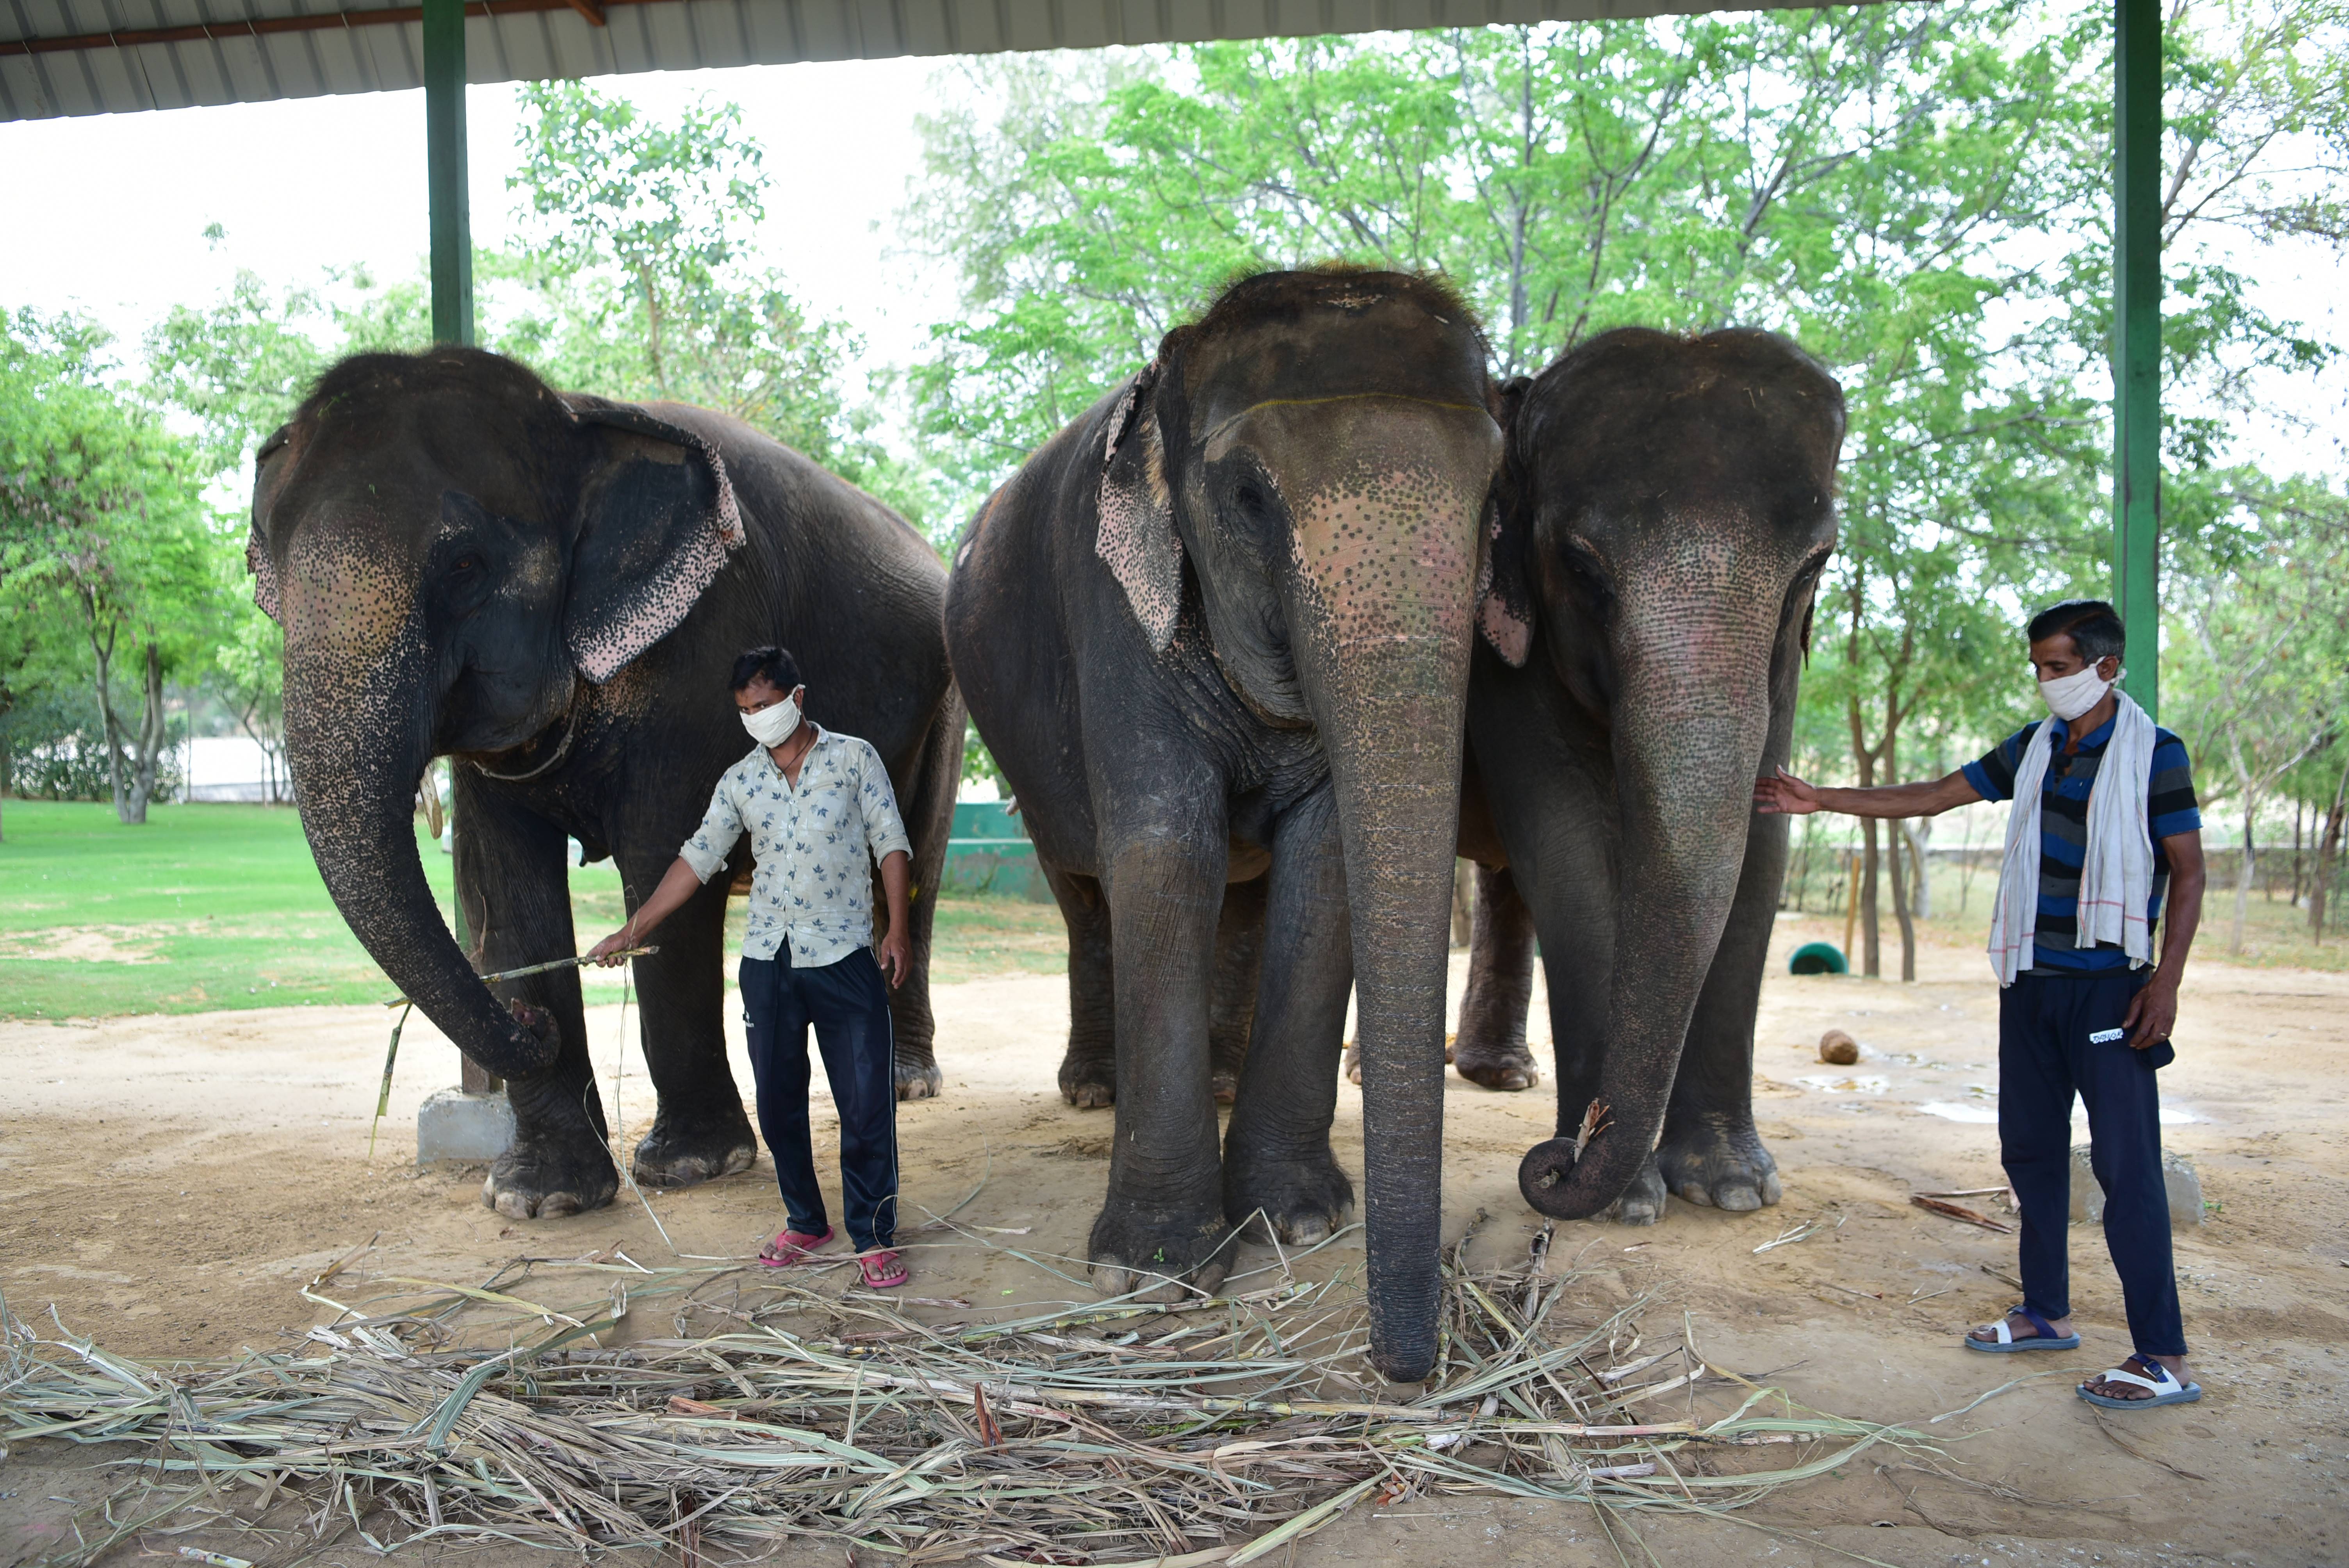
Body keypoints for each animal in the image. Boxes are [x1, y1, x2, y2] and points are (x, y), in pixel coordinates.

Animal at [249, 346, 963, 1220]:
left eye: (464, 565)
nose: (524, 1015)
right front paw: (540, 1197)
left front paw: (695, 1166)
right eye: (274, 571)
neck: (575, 417)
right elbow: (504, 884)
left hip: (946, 699)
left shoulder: (701, 651)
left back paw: (905, 1083)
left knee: (910, 870)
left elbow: (668, 863)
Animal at [943, 268, 1502, 1382]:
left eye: (1493, 495)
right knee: (1086, 892)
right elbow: (1166, 852)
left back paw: (1222, 1079)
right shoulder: (1113, 602)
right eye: (1248, 499)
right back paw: (1094, 1089)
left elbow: (1322, 861)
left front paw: (1296, 1221)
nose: (1404, 1368)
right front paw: (1154, 1270)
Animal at [1454, 326, 1845, 1225]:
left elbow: (1761, 845)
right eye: (1580, 568)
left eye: (1815, 565)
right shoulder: (1506, 662)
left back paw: (1500, 1074)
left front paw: (1732, 1187)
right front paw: (1625, 1197)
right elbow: (1566, 843)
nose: (1551, 1167)